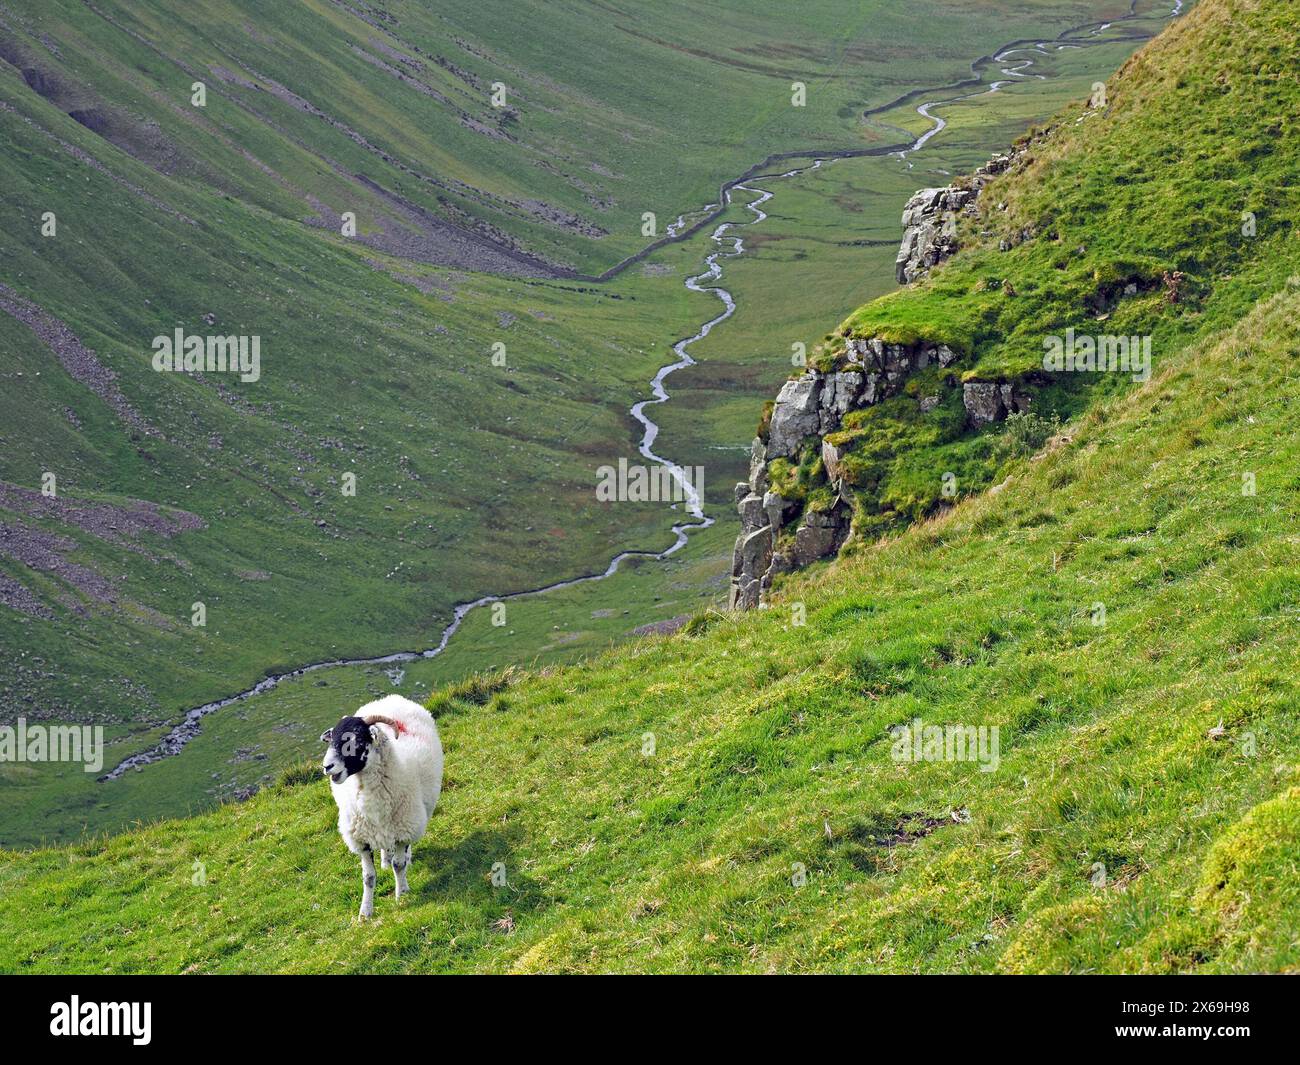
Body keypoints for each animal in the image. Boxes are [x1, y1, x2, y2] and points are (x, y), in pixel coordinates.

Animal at [319, 693, 444, 918]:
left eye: (357, 739)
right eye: (331, 740)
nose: (327, 767)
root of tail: (392, 698)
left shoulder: (404, 830)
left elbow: (399, 865)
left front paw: (401, 894)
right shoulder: (361, 840)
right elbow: (368, 877)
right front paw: (365, 912)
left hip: (416, 816)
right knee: (386, 847)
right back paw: (385, 860)